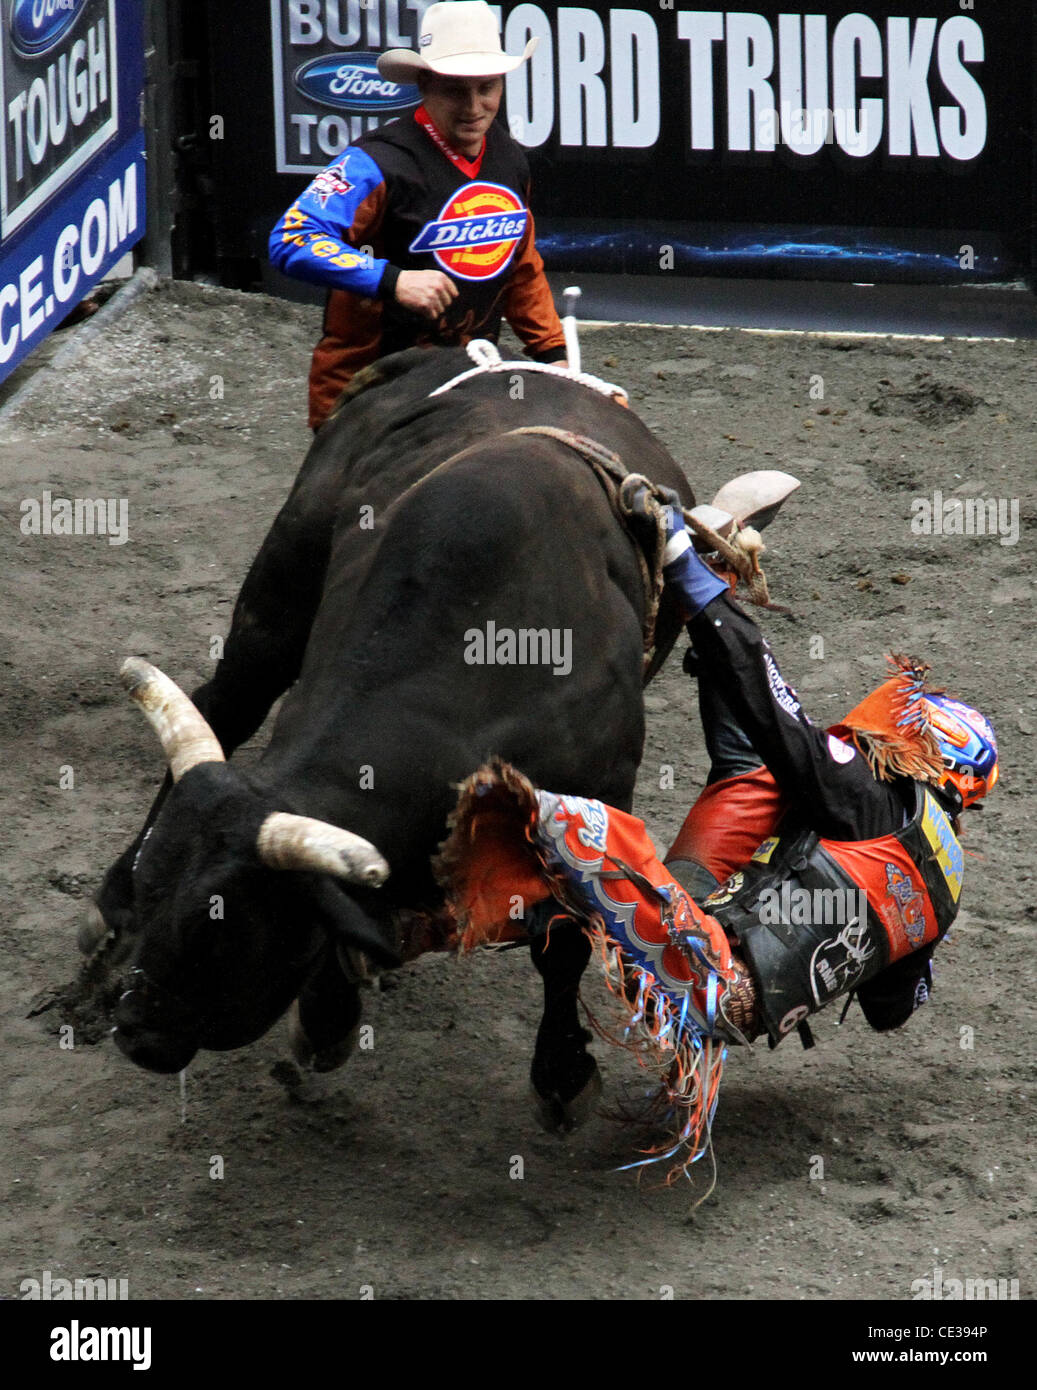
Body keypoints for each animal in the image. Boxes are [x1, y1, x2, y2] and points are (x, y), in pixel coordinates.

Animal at [87, 344, 703, 1129]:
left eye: (217, 931)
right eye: (152, 890)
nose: (134, 1030)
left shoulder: (593, 807)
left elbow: (561, 943)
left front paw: (562, 1074)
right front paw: (326, 1016)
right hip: (280, 590)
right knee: (226, 704)